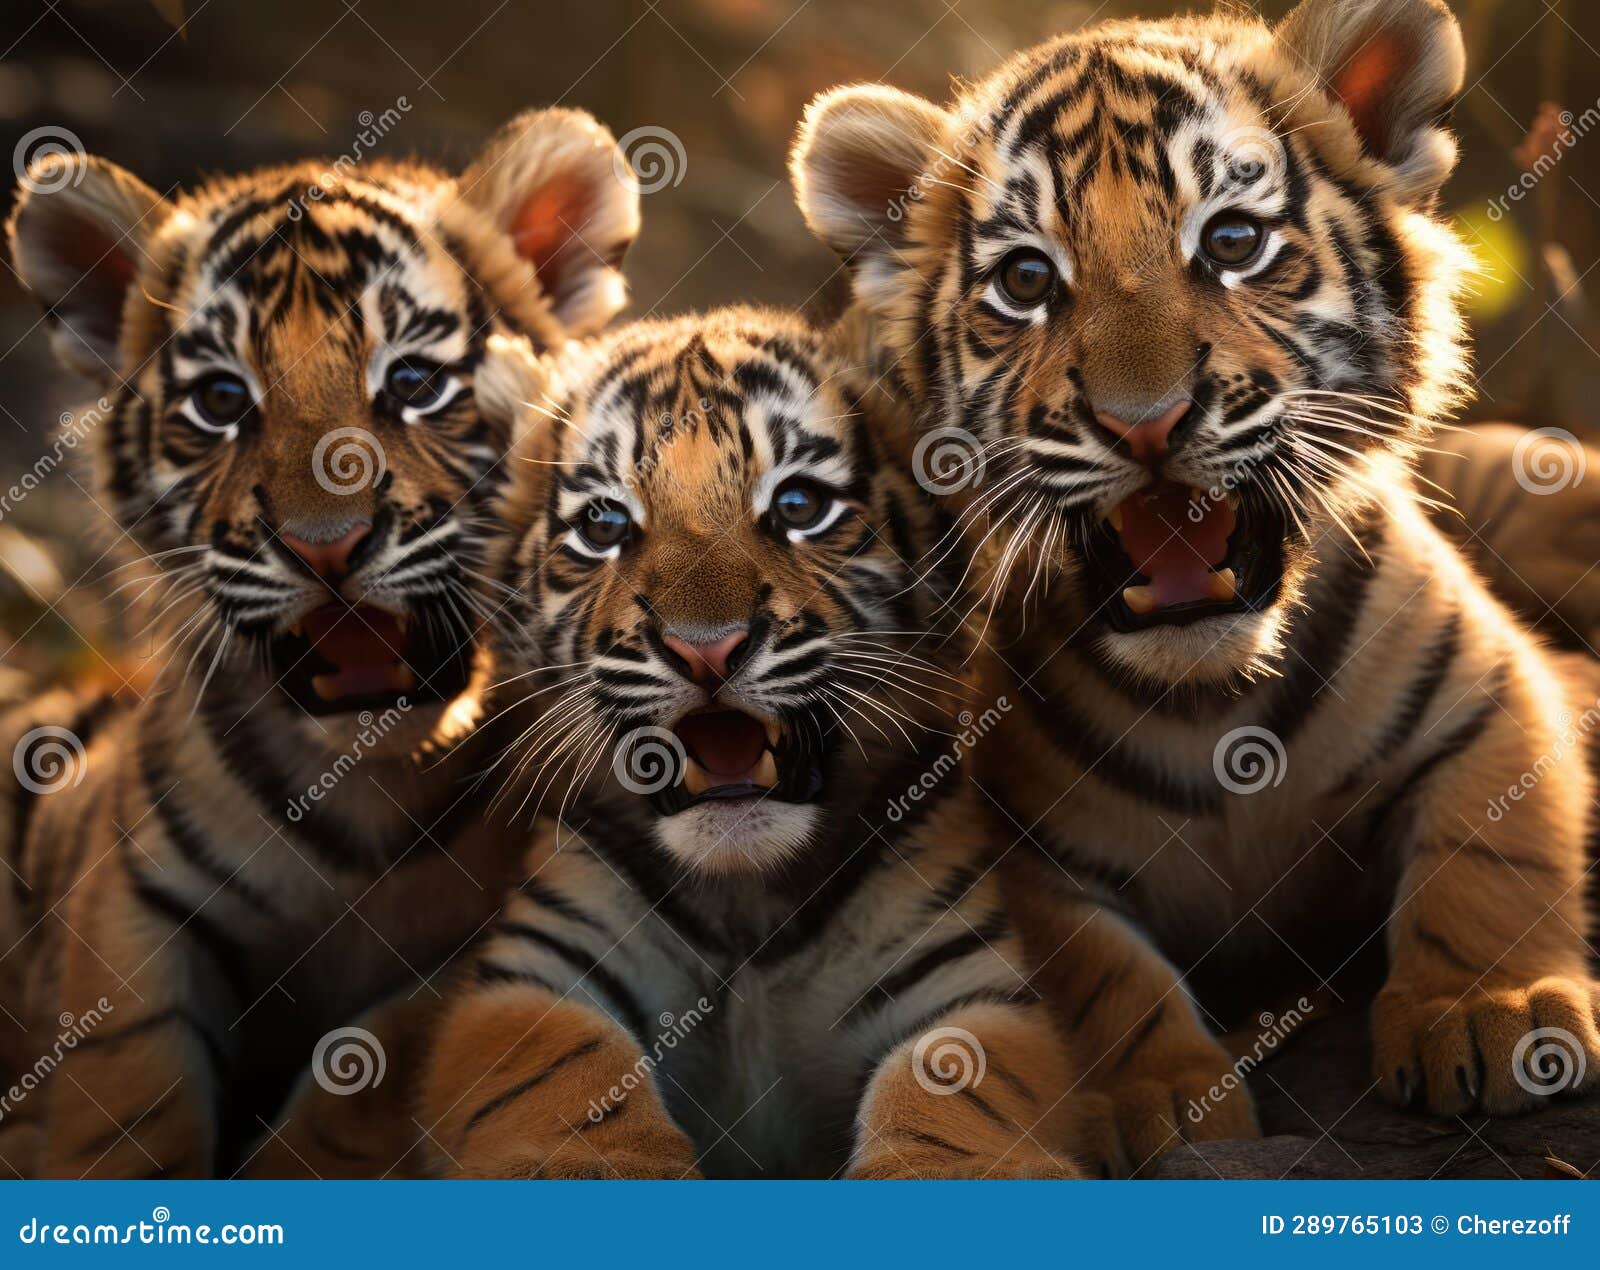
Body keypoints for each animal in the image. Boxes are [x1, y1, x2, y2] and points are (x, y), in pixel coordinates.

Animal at [0, 108, 641, 1178]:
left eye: (414, 382)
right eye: (223, 401)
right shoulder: (133, 903)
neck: (364, 794)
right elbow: (127, 1084)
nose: (325, 545)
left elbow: (376, 1060)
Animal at [246, 309, 1089, 1180]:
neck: (749, 903)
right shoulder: (536, 976)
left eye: (800, 504)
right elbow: (566, 1074)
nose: (705, 650)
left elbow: (953, 1103)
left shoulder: (968, 986)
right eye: (604, 525)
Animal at [790, 0, 1600, 1176]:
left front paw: (1487, 1008)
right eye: (1026, 283)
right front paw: (1162, 1096)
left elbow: (1489, 851)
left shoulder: (1490, 695)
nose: (1145, 423)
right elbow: (1097, 972)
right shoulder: (1014, 846)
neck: (1218, 706)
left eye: (1231, 243)